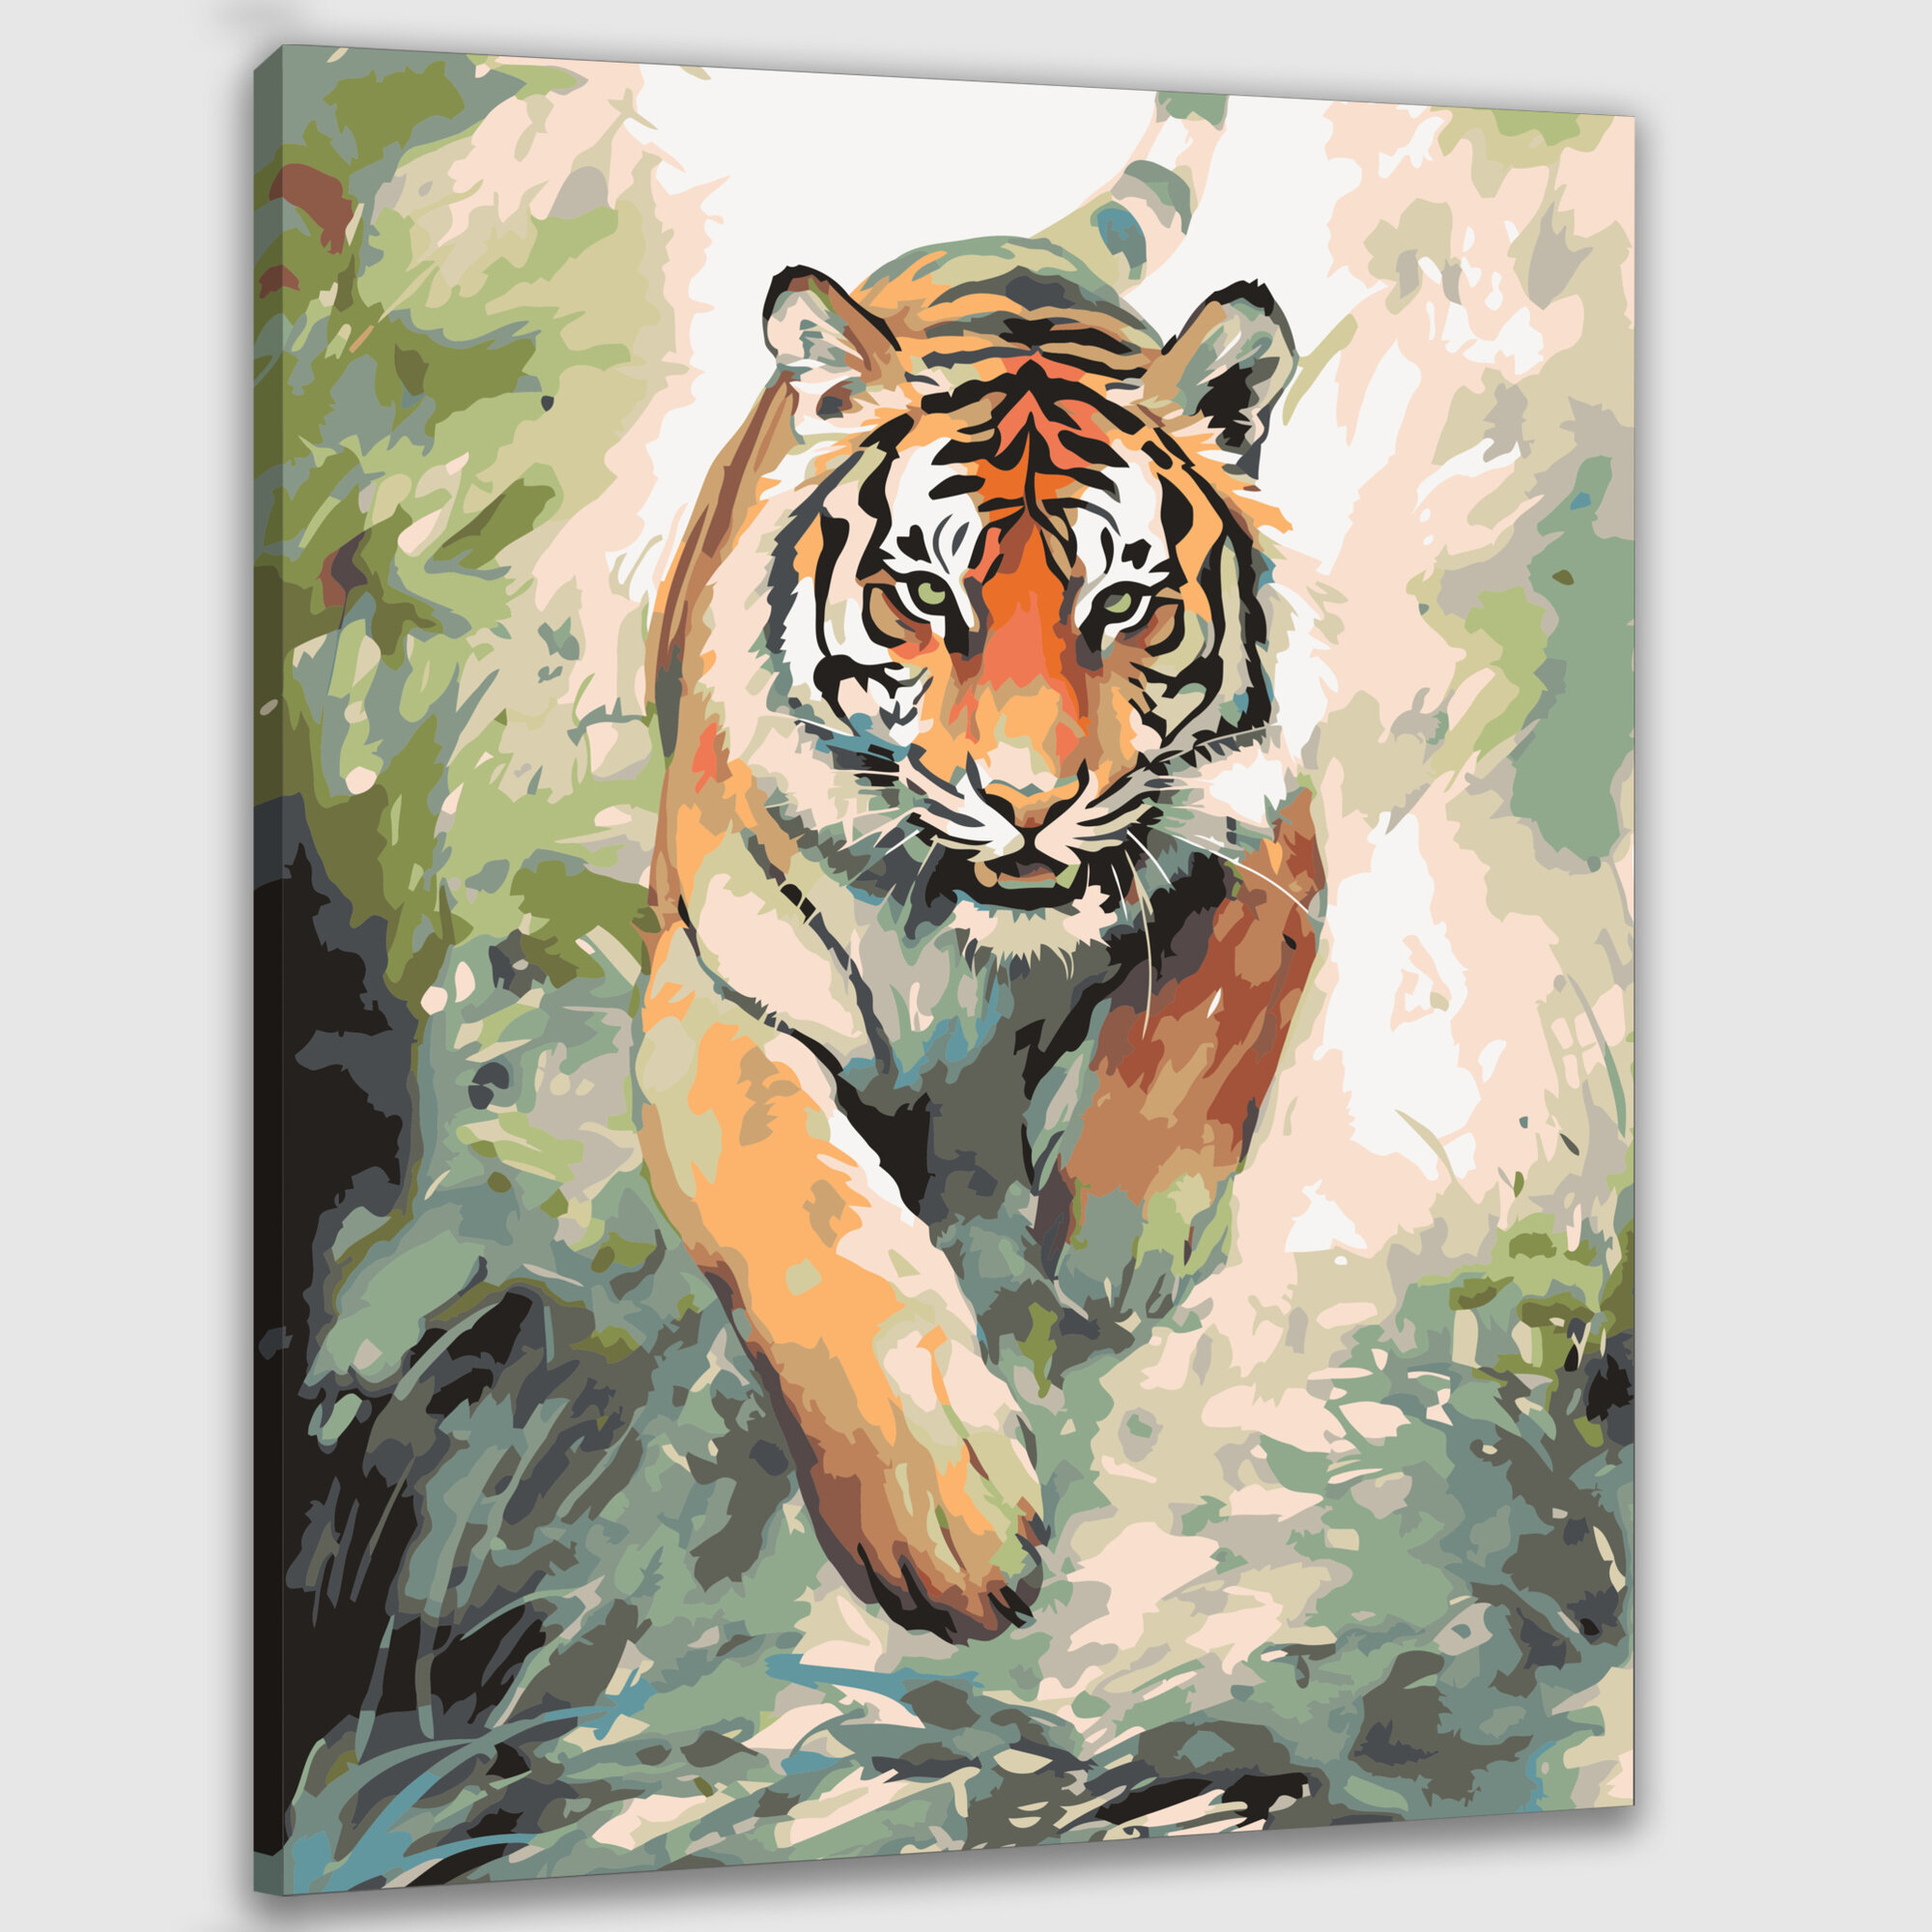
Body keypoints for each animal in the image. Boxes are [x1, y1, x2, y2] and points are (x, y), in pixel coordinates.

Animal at [633, 219, 1324, 1644]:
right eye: (923, 595)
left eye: (1121, 604)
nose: (1027, 796)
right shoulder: (718, 994)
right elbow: (798, 1215)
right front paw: (940, 1529)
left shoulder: (1276, 841)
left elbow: (1204, 1006)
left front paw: (1115, 1238)